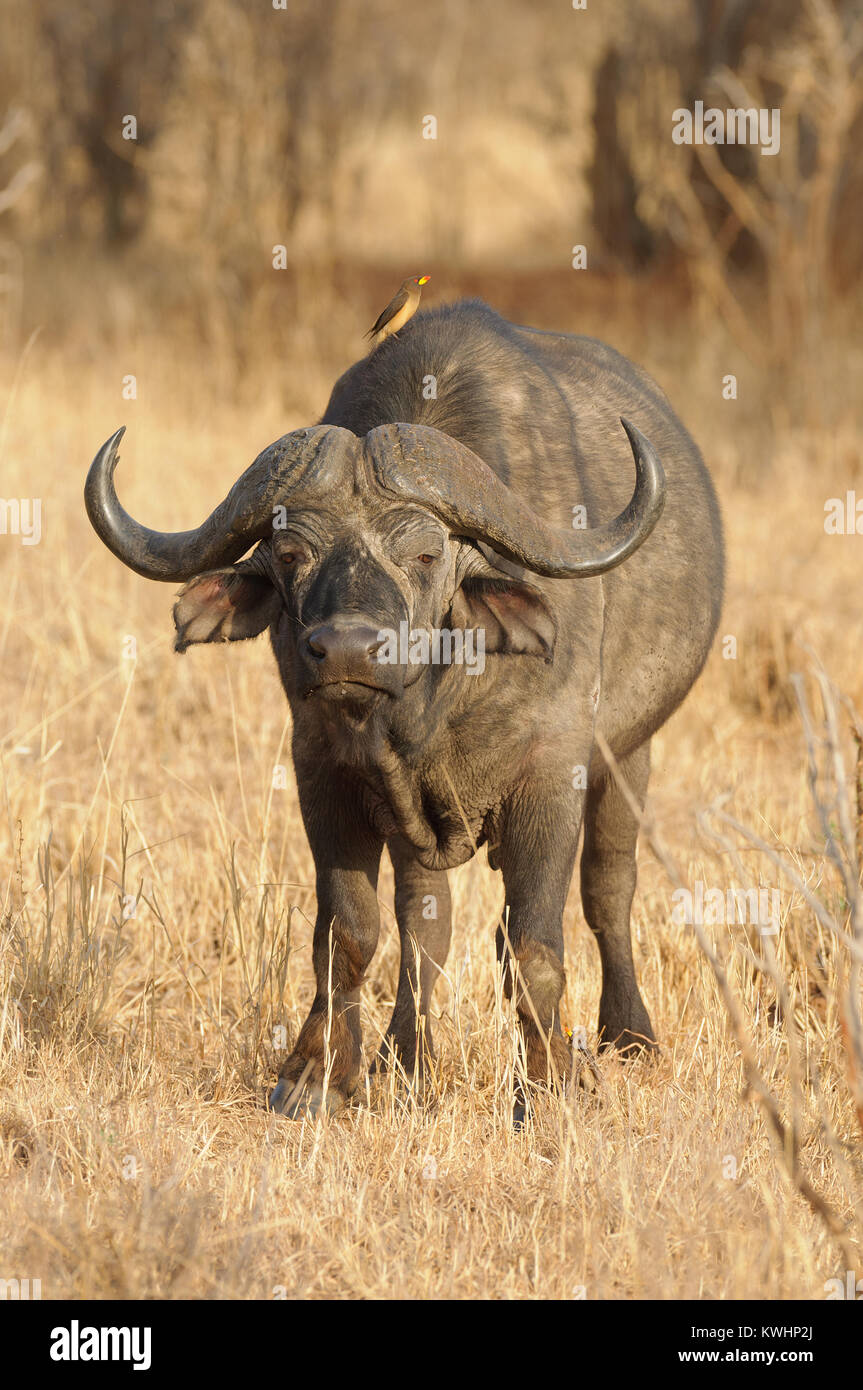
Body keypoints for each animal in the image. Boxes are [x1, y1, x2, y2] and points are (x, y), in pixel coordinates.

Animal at [85, 299, 724, 1118]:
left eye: (425, 553)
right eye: (289, 553)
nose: (349, 651)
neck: (427, 709)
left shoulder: (551, 775)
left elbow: (534, 945)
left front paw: (548, 1087)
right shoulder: (323, 771)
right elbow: (350, 933)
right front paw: (316, 1076)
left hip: (630, 754)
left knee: (609, 889)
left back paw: (627, 1035)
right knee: (427, 923)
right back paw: (404, 1058)